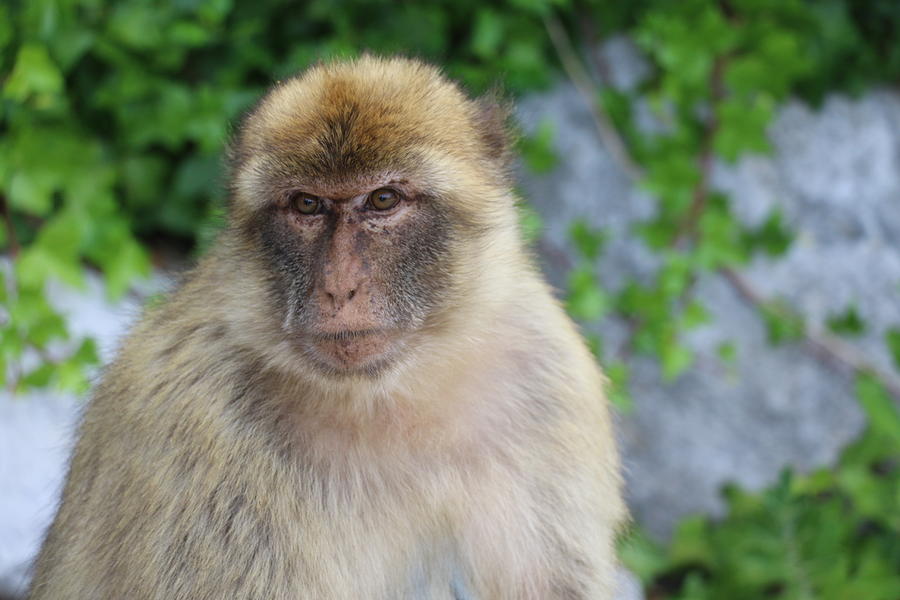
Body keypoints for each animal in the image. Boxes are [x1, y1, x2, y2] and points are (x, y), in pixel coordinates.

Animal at [27, 56, 626, 600]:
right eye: (307, 204)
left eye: (383, 199)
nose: (339, 288)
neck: (388, 395)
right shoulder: (193, 420)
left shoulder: (547, 378)